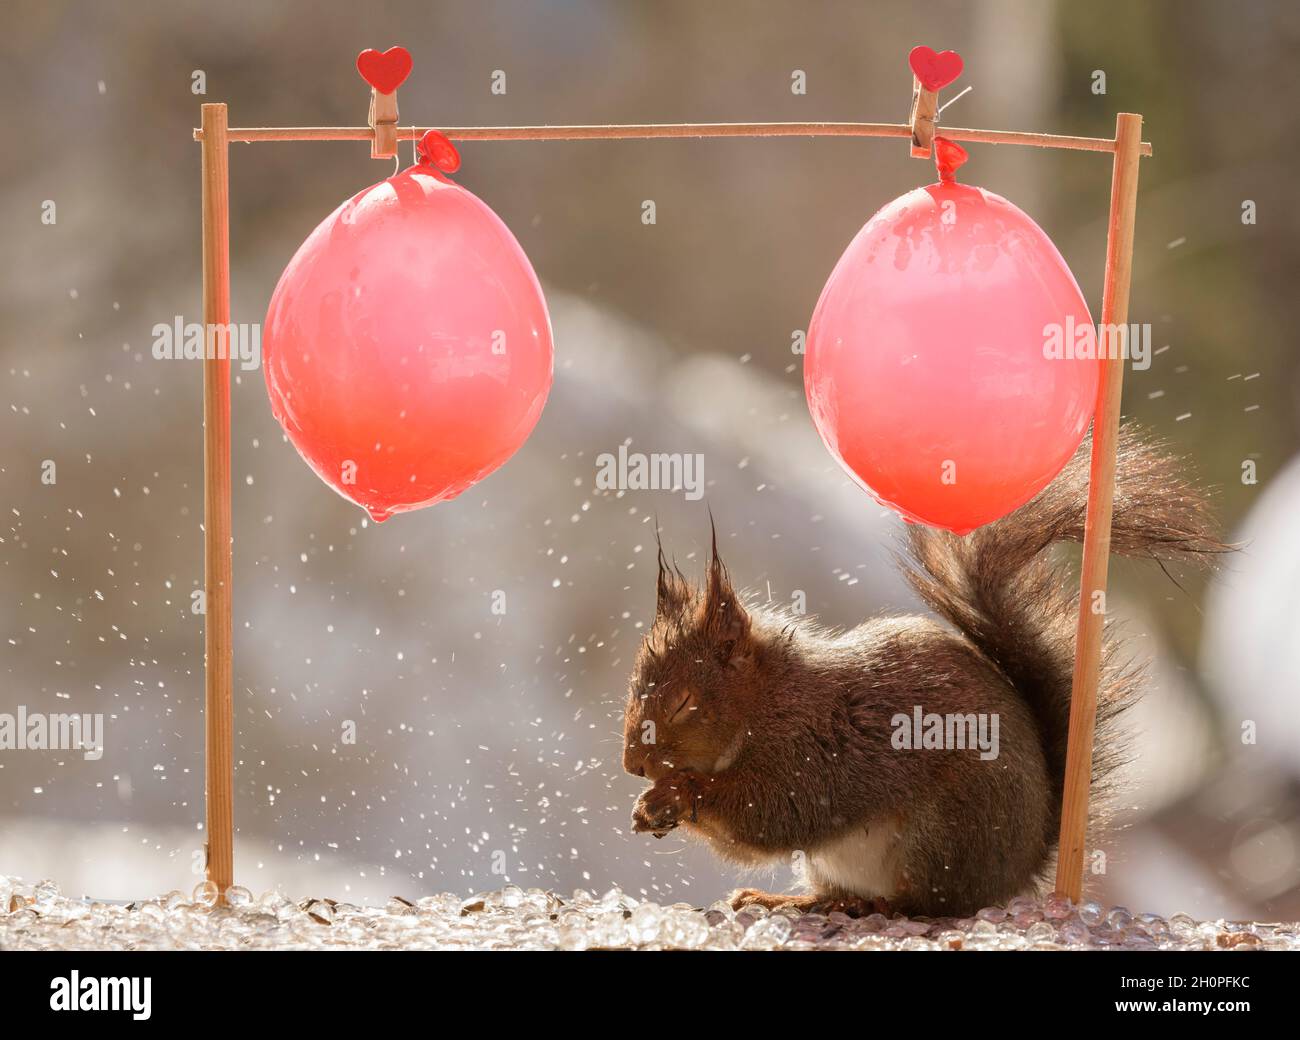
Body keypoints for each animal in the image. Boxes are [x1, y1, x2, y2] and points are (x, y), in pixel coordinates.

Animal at [622, 428, 1226, 918]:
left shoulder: (819, 750)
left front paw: (681, 791)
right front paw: (650, 805)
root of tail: (1016, 871)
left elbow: (773, 814)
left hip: (943, 833)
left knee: (933, 903)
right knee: (834, 892)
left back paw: (877, 904)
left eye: (683, 702)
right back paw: (790, 899)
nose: (633, 765)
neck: (771, 701)